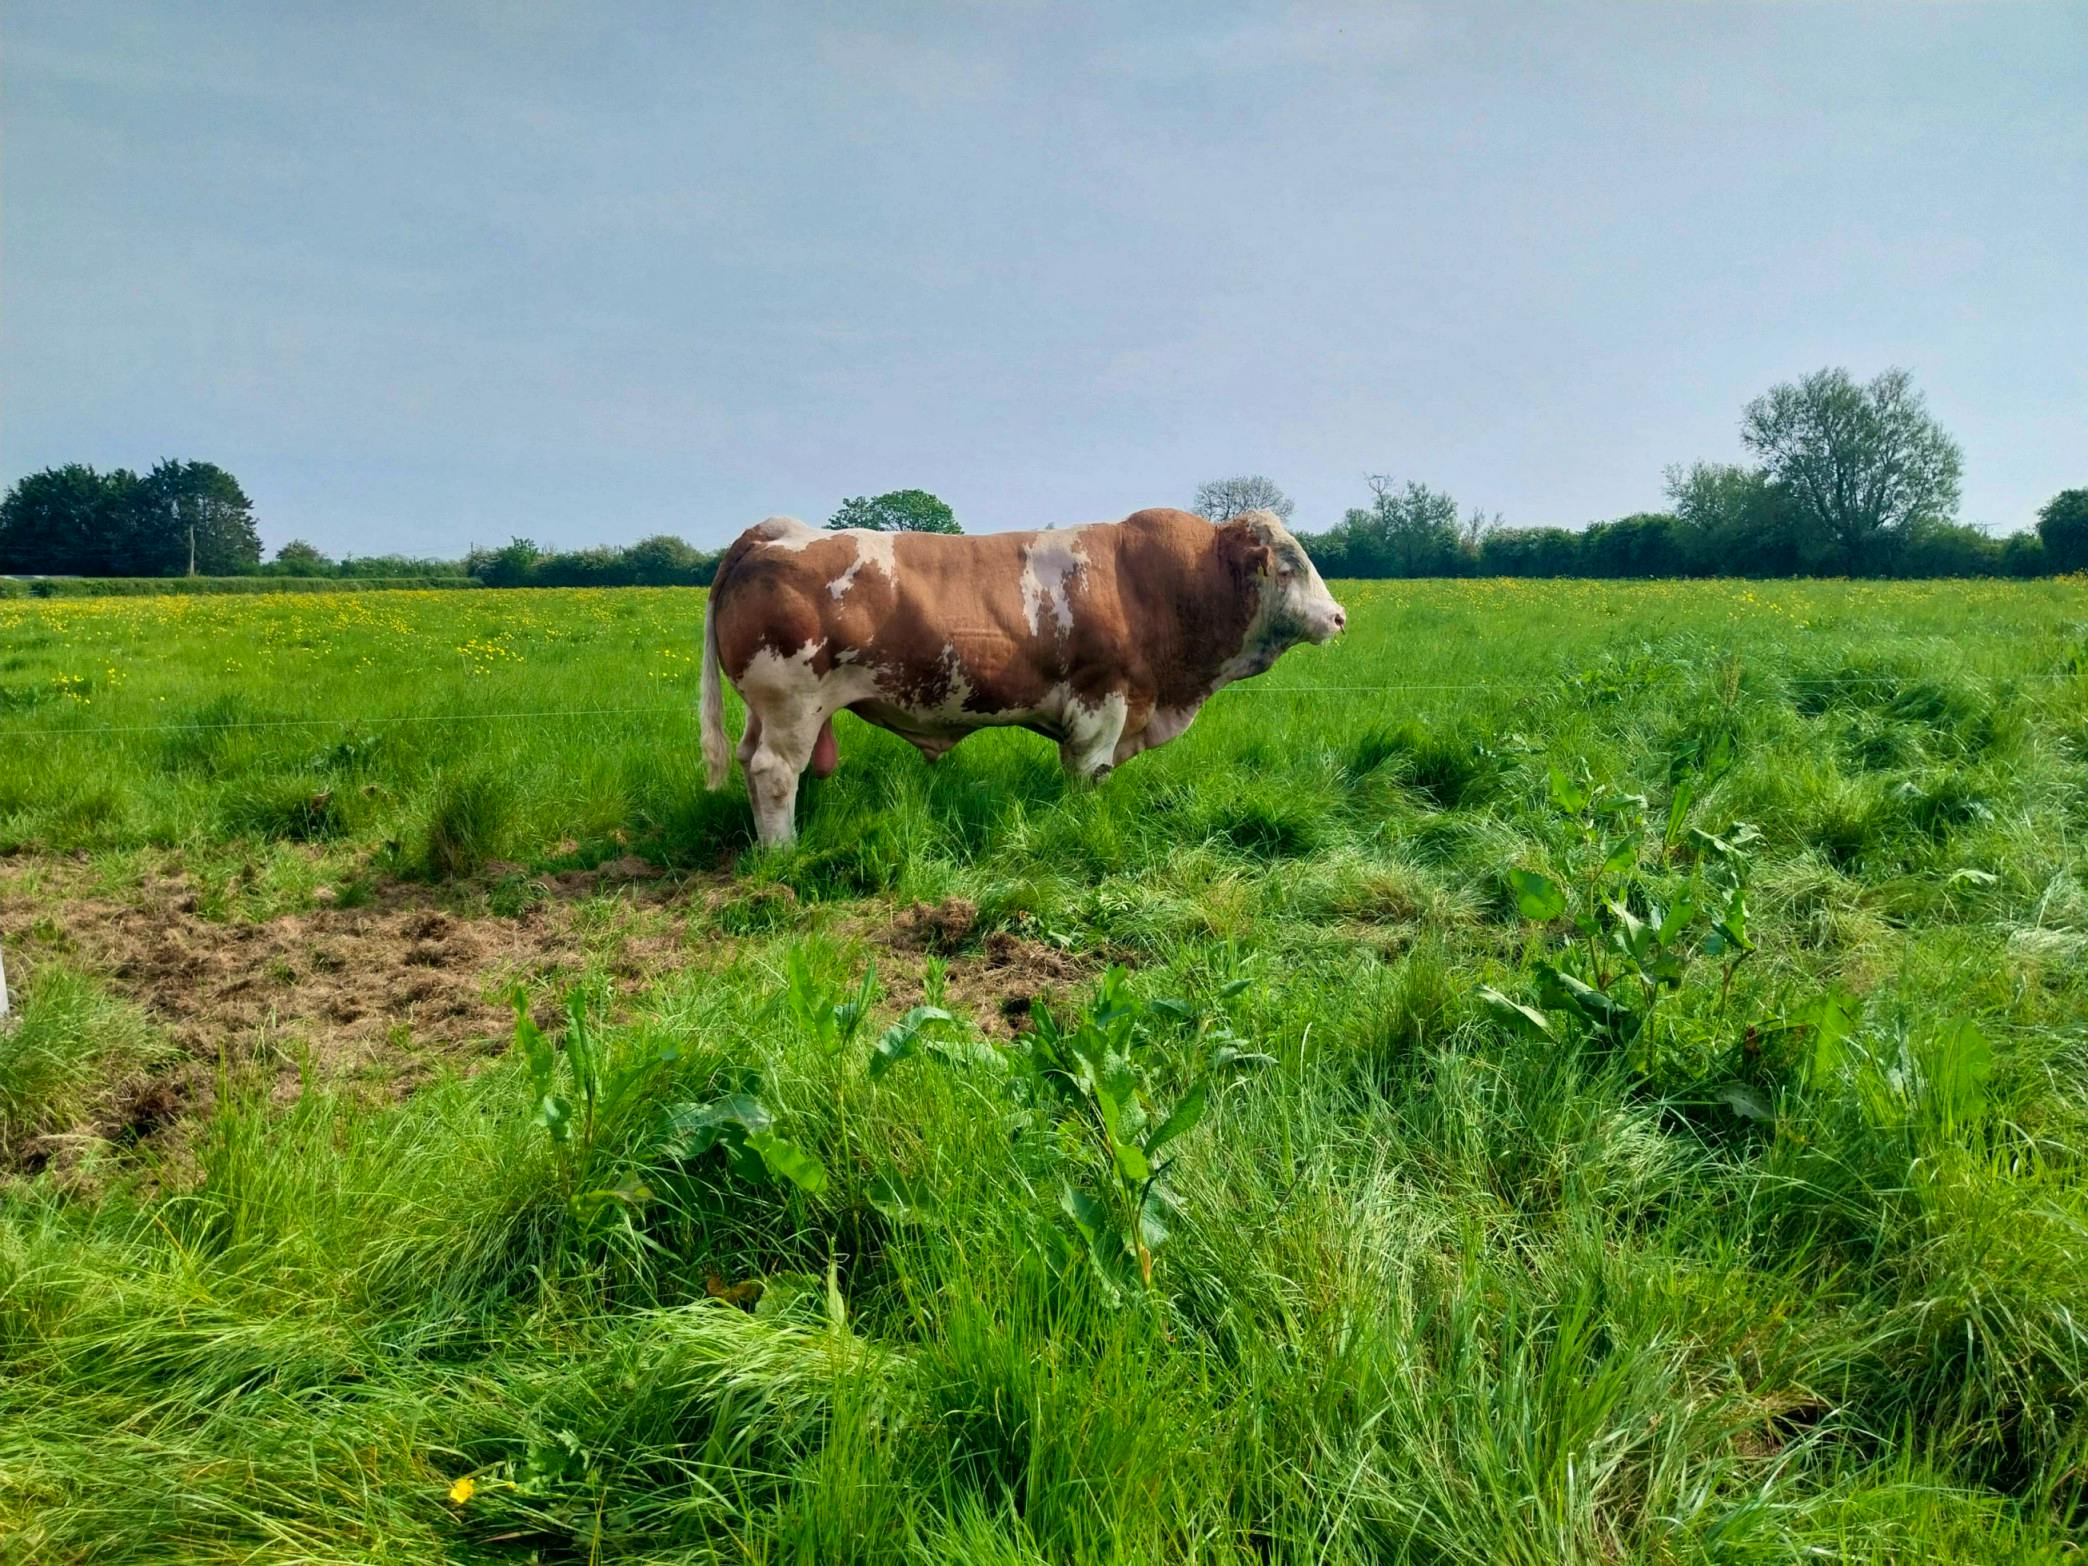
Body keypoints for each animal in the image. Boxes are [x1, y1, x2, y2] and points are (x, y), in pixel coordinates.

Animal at [698, 507, 1346, 845]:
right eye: (1289, 566)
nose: (1339, 615)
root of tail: (775, 528)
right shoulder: (1102, 701)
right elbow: (1089, 775)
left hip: (763, 709)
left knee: (751, 764)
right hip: (792, 705)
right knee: (774, 772)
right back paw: (782, 852)